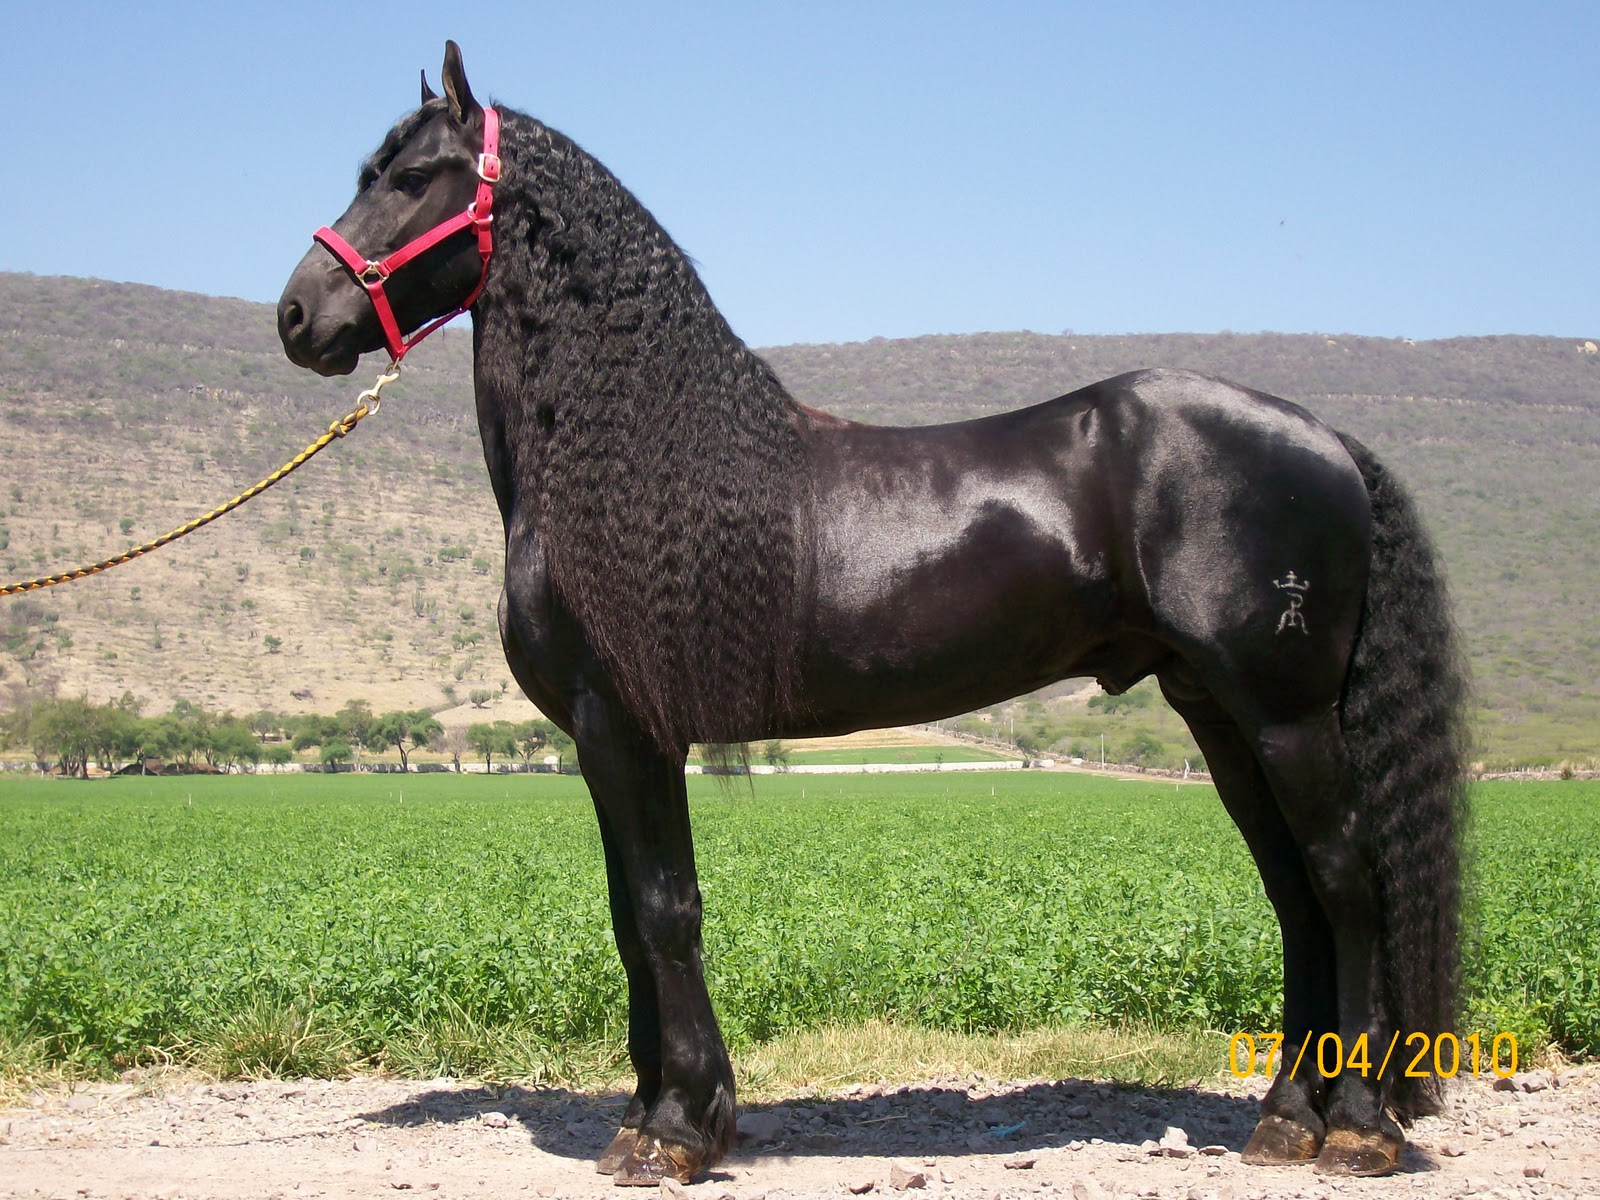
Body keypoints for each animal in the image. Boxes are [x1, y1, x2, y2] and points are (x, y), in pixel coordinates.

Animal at [278, 43, 1469, 1186]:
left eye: (411, 178)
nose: (298, 314)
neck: (631, 460)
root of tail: (1323, 439)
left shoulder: (626, 727)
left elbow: (666, 911)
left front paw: (674, 1131)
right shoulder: (606, 740)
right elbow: (628, 918)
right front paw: (657, 1113)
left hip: (1286, 715)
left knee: (1344, 886)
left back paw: (1356, 1129)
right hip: (1219, 716)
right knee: (1294, 896)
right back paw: (1287, 1118)